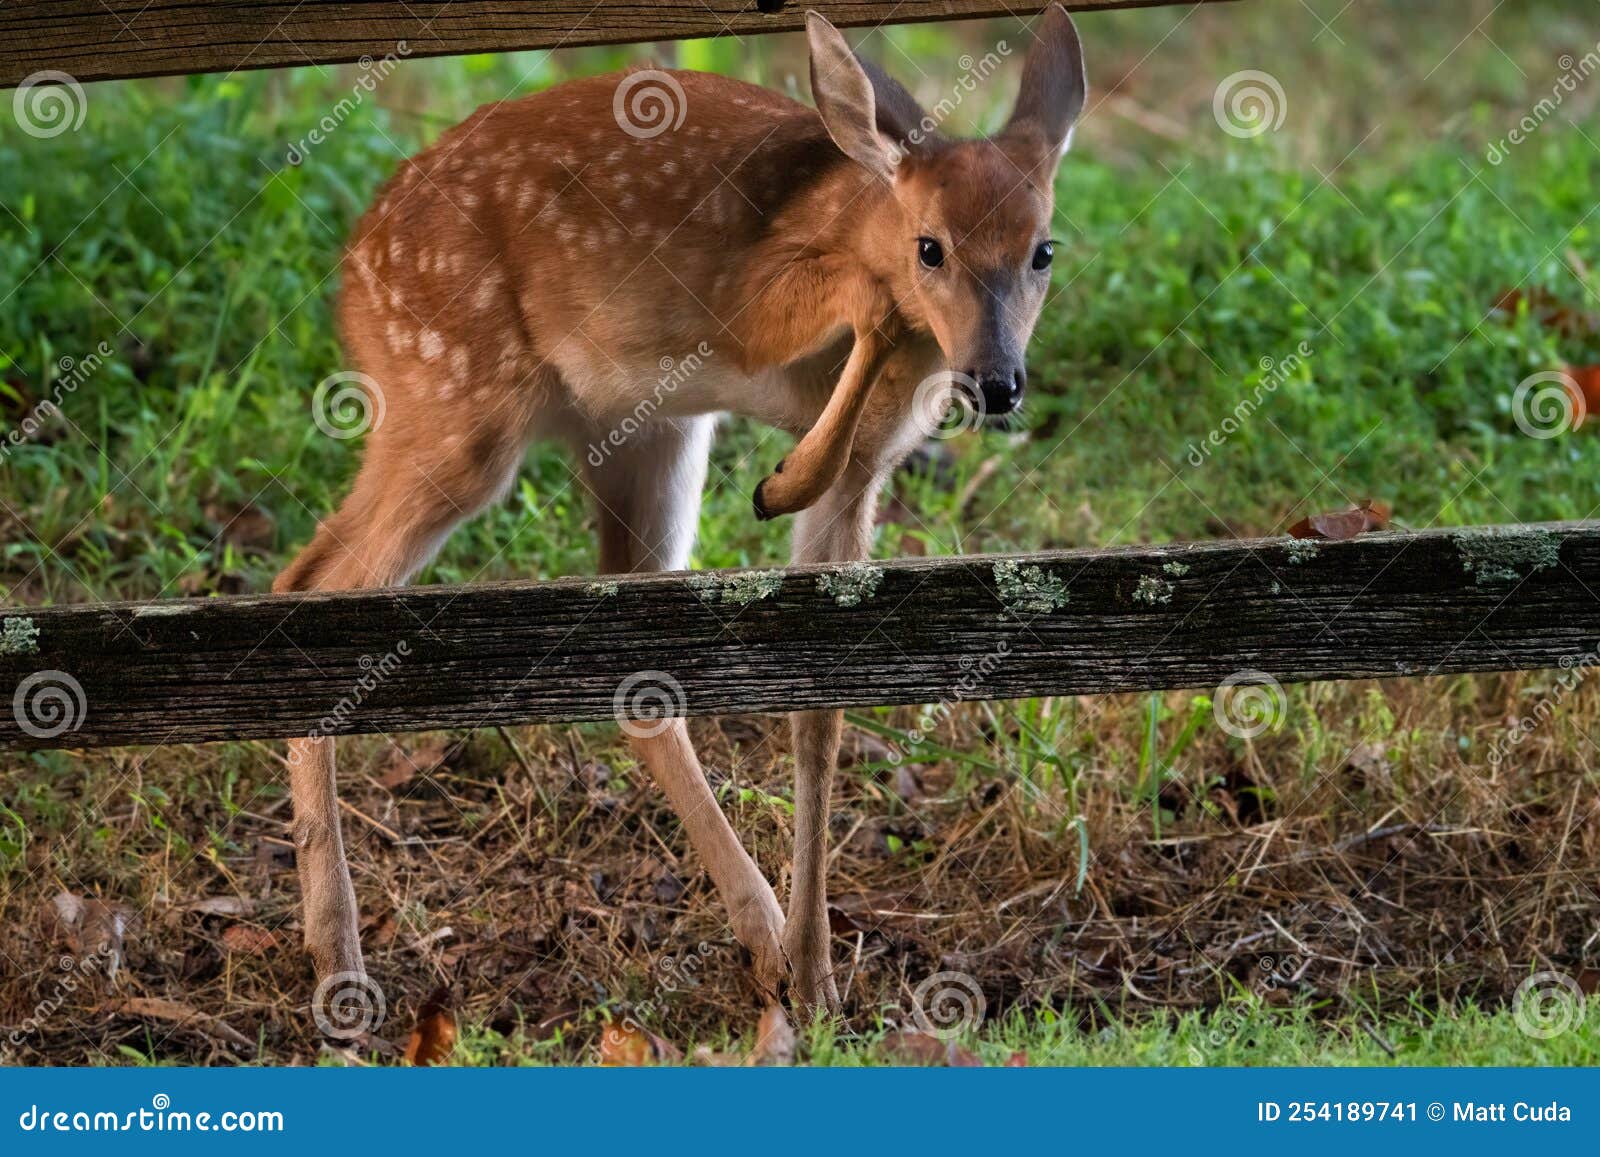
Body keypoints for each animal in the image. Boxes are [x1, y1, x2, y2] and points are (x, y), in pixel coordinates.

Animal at [275, 6, 1087, 1024]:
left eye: (1043, 251)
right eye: (931, 246)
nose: (998, 380)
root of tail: (351, 265)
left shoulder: (868, 472)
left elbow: (820, 713)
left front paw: (818, 976)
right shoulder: (741, 301)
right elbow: (860, 301)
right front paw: (782, 476)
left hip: (642, 430)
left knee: (637, 665)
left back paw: (765, 942)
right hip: (450, 398)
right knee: (305, 582)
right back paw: (337, 961)